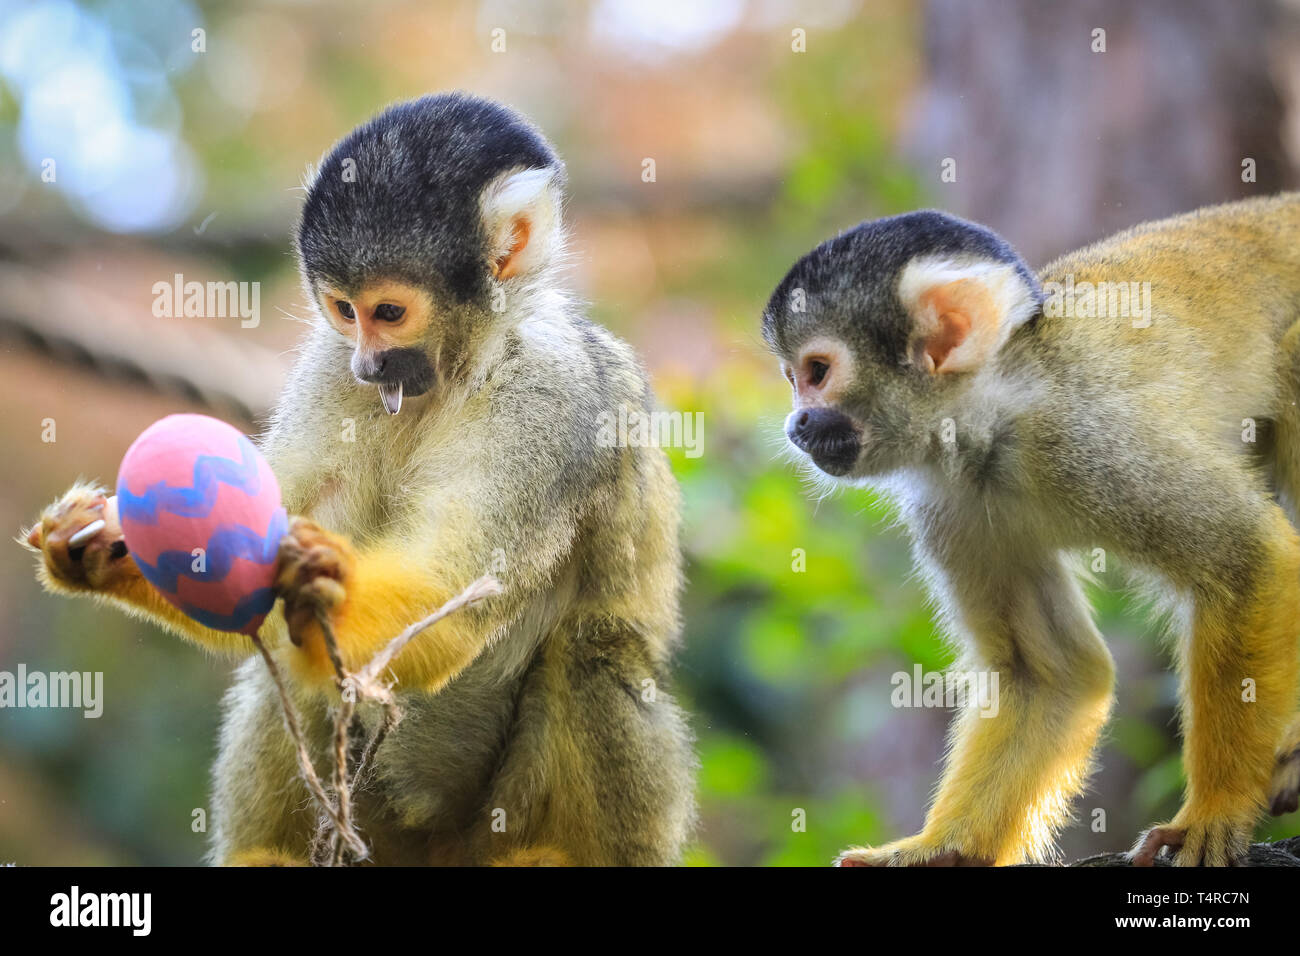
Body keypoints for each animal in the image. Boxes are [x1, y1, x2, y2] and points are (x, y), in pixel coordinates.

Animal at [23, 92, 696, 866]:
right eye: (345, 311)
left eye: (390, 312)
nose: (368, 367)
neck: (465, 364)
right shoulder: (327, 361)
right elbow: (255, 578)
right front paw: (96, 547)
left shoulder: (553, 396)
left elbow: (452, 587)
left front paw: (333, 585)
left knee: (595, 653)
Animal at [762, 195, 1300, 867]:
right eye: (793, 379)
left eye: (817, 371)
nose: (797, 424)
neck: (997, 418)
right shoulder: (954, 501)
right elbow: (1051, 676)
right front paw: (938, 850)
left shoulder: (1087, 438)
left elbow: (1249, 560)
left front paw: (1215, 811)